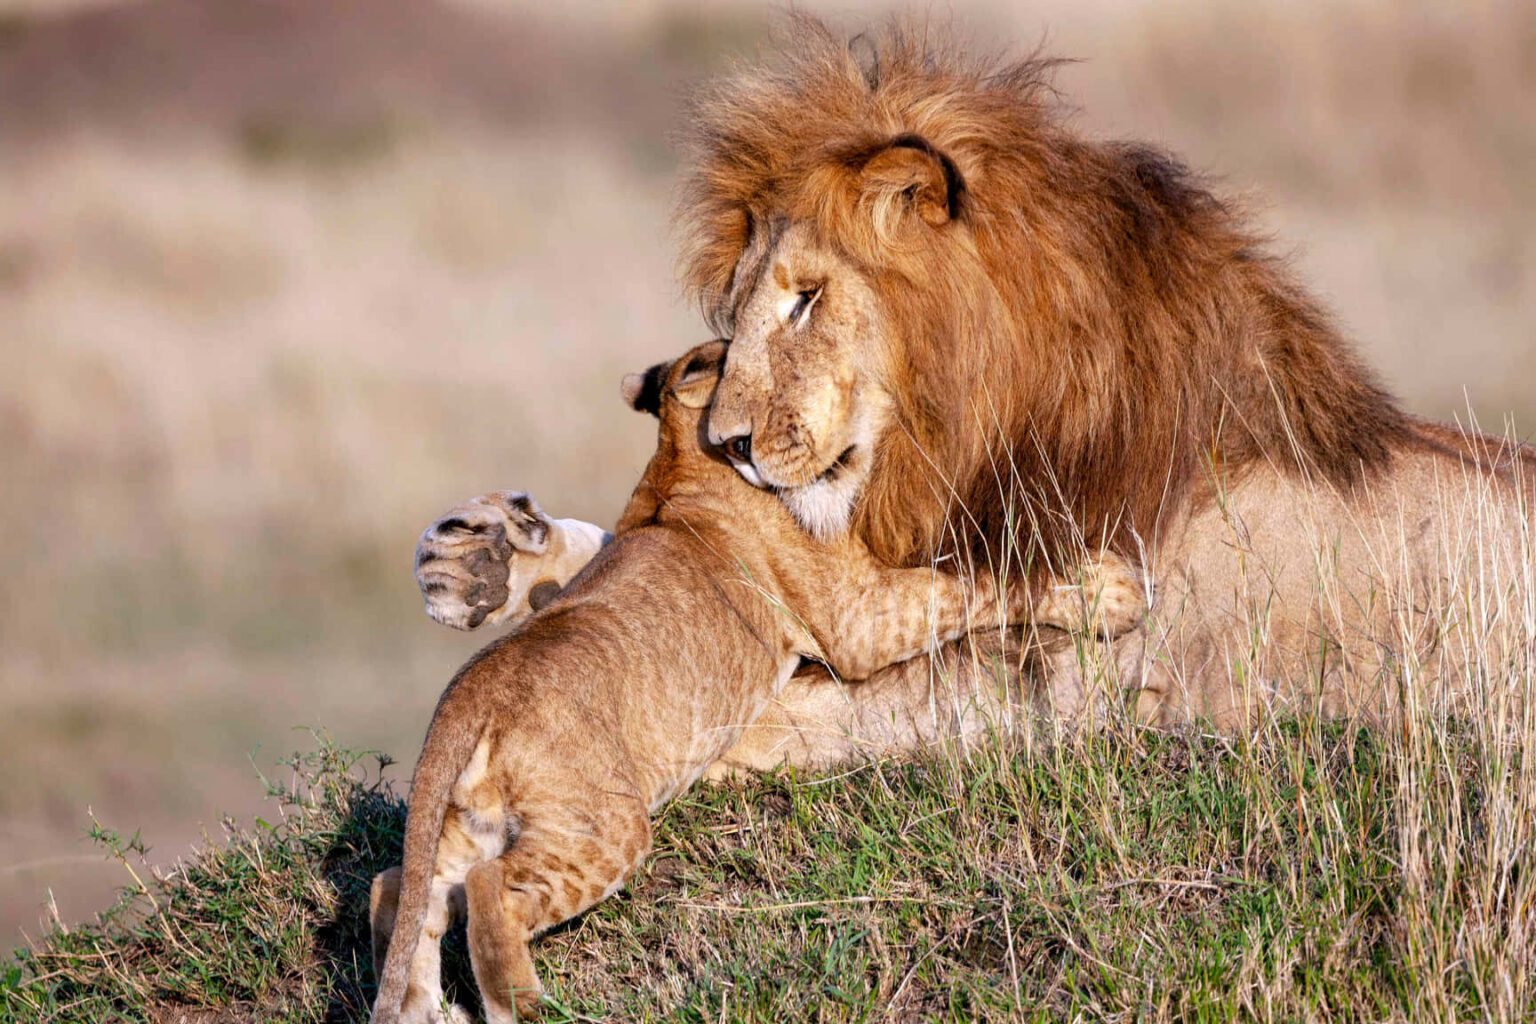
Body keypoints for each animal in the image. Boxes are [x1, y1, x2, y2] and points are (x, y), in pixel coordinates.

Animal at [371, 340, 1144, 1023]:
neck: (685, 459)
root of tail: (469, 694)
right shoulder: (858, 618)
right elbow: (977, 583)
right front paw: (1110, 592)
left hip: (464, 826)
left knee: (401, 890)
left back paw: (422, 1011)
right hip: (602, 825)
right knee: (491, 895)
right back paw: (524, 1009)